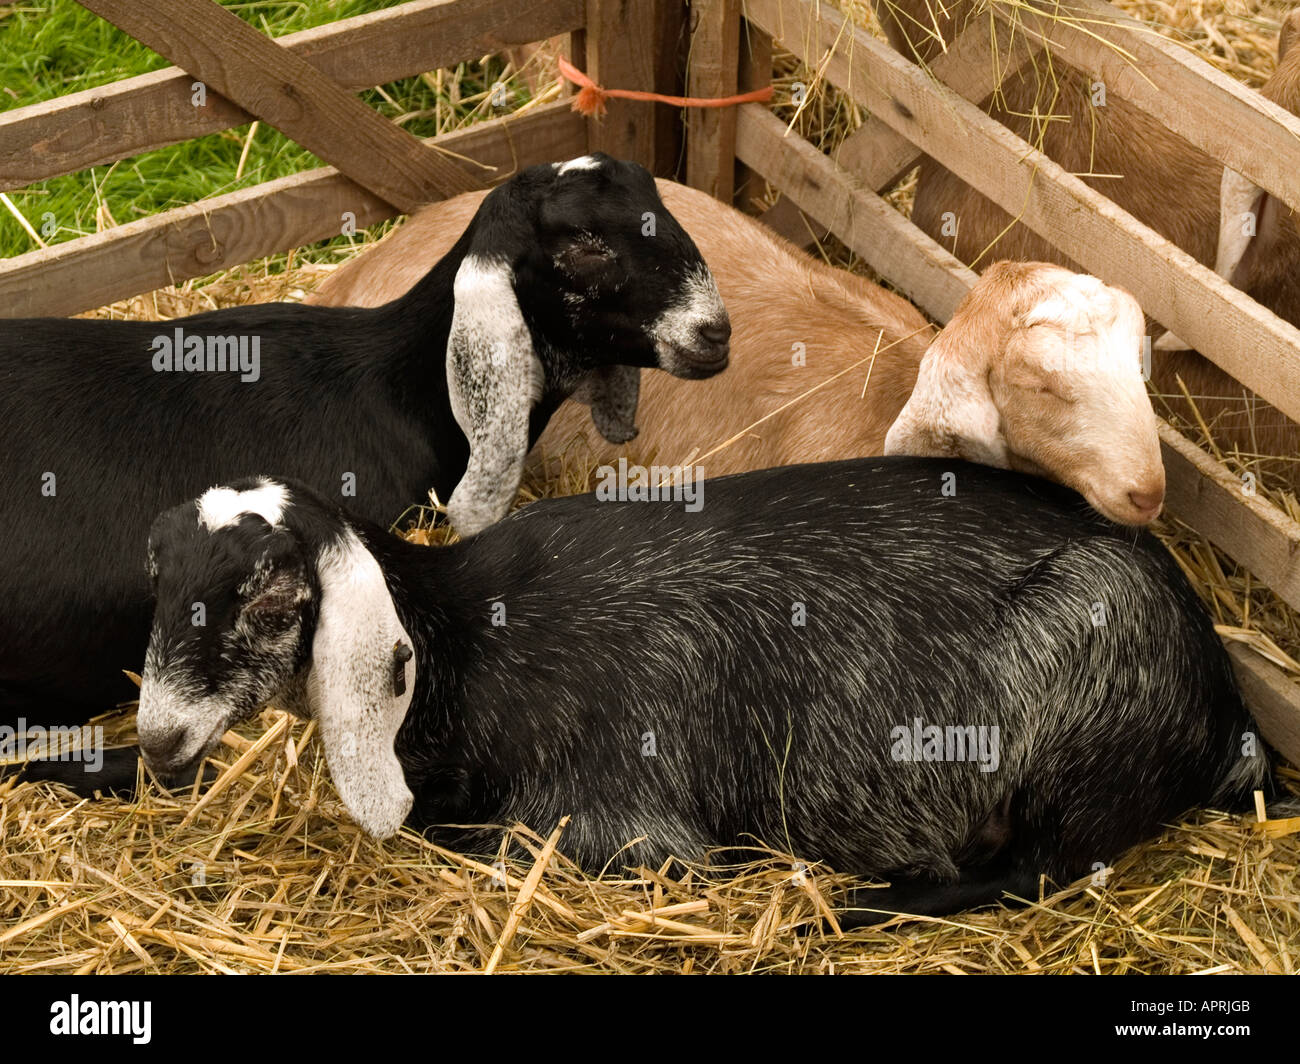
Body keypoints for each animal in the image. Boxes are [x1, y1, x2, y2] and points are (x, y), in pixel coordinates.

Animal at [136, 467, 1264, 924]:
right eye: (158, 572)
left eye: (270, 596)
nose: (155, 738)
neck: (469, 641)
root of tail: (1226, 715)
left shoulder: (626, 826)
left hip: (1087, 688)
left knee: (1044, 867)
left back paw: (855, 909)